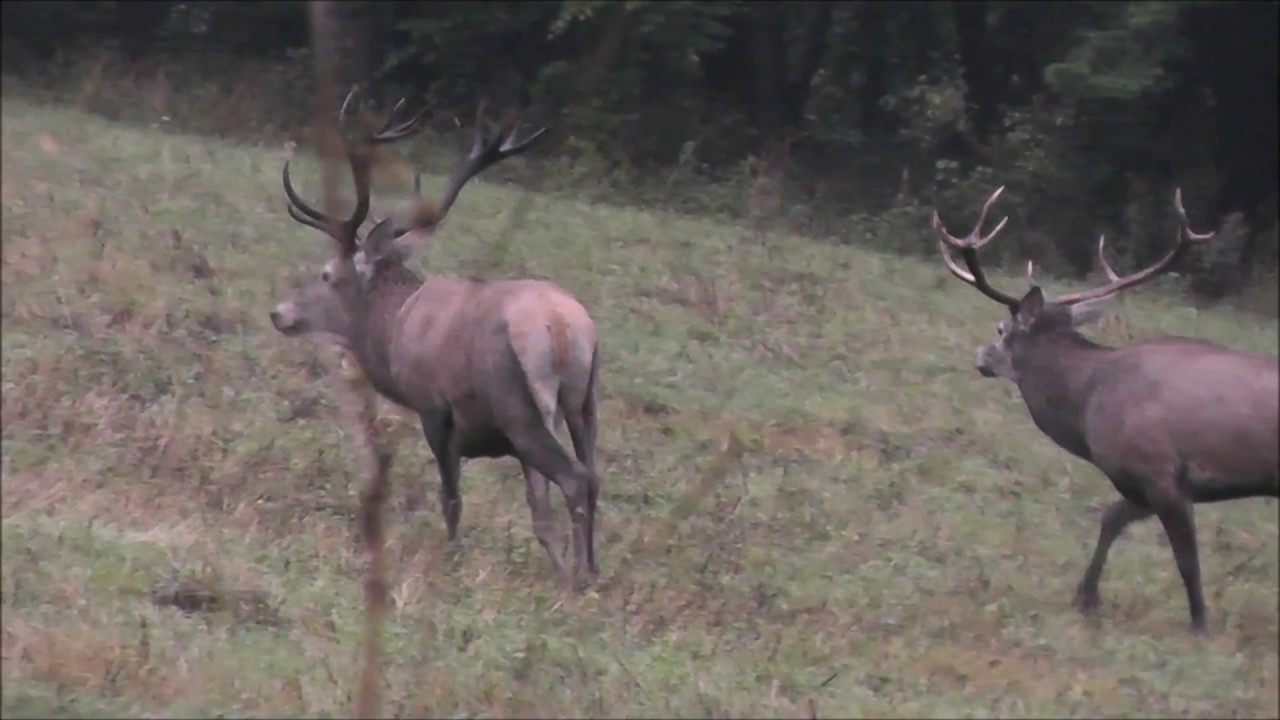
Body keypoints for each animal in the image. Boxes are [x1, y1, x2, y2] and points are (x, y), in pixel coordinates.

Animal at [268, 90, 602, 591]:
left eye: (327, 274)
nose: (280, 312)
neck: (394, 334)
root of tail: (562, 326)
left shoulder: (434, 408)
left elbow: (452, 498)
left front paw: (452, 561)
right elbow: (537, 514)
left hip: (520, 406)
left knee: (575, 477)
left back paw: (579, 578)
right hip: (583, 401)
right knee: (594, 475)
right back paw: (593, 571)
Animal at [933, 186, 1278, 635]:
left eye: (1000, 330)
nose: (980, 357)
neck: (1087, 407)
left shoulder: (1160, 471)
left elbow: (1186, 558)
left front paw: (1200, 624)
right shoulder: (1136, 482)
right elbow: (1109, 520)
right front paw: (1085, 598)